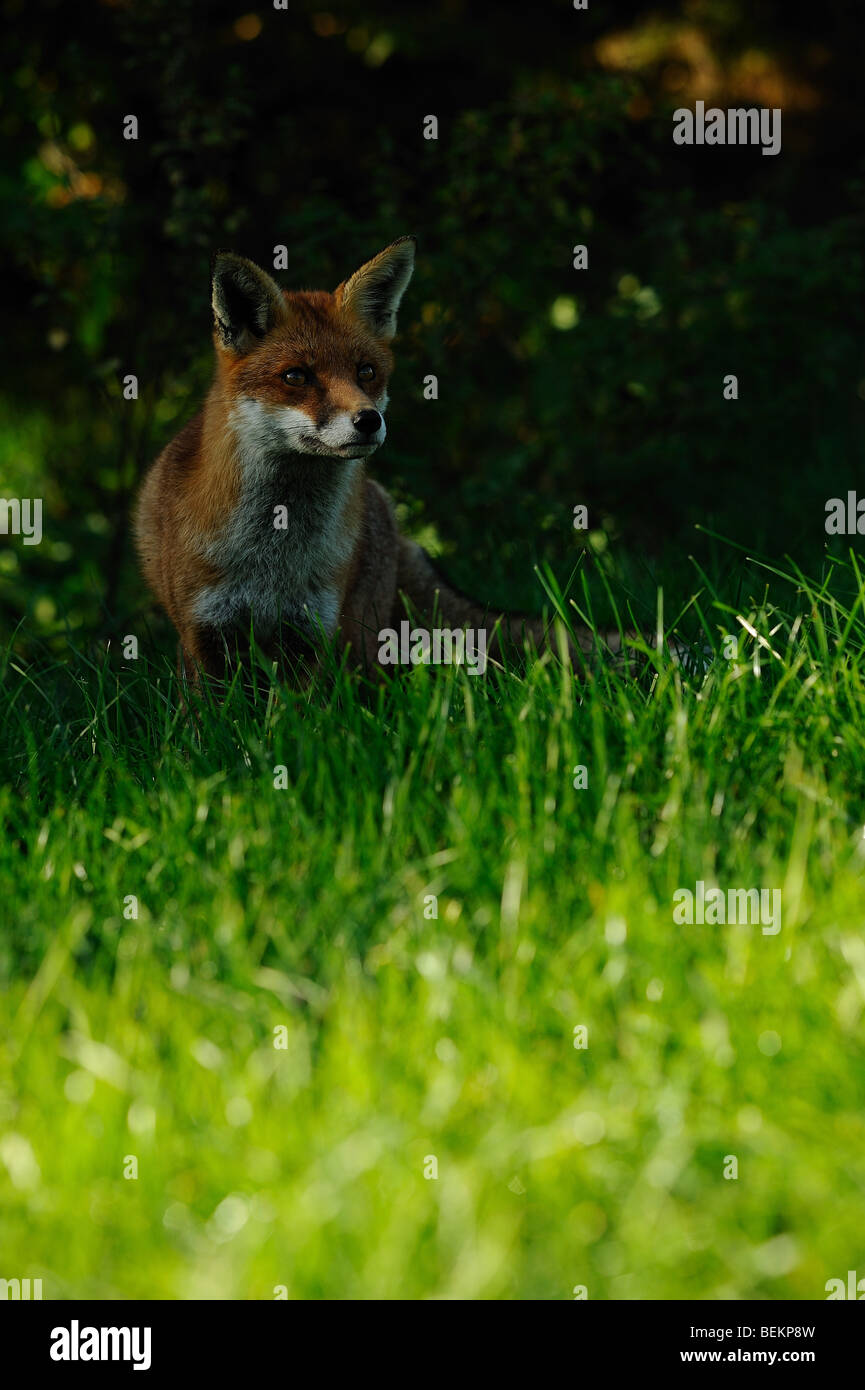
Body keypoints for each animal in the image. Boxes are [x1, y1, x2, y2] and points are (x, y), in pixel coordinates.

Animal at [134, 238, 604, 686]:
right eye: (296, 376)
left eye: (366, 372)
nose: (368, 419)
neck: (272, 558)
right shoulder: (202, 635)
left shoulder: (312, 632)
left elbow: (297, 712)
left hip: (360, 638)